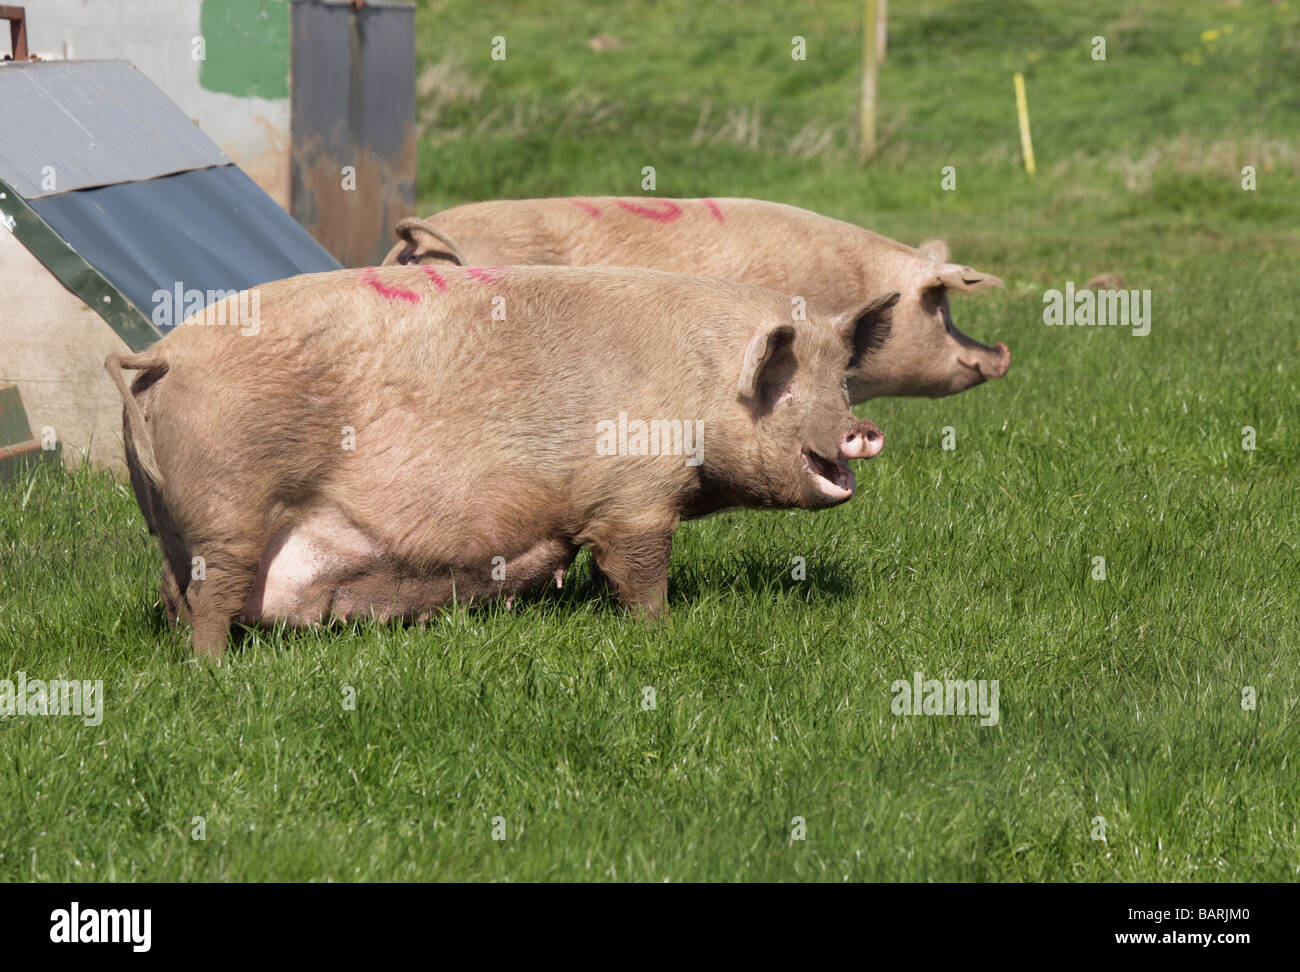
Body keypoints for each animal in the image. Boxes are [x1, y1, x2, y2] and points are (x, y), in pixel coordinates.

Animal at [105, 265, 887, 661]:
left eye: (842, 382)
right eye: (787, 389)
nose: (862, 430)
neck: (698, 385)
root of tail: (159, 355)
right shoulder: (632, 498)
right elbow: (639, 574)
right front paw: (661, 635)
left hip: (165, 516)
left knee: (176, 594)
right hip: (230, 504)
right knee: (213, 594)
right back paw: (214, 672)